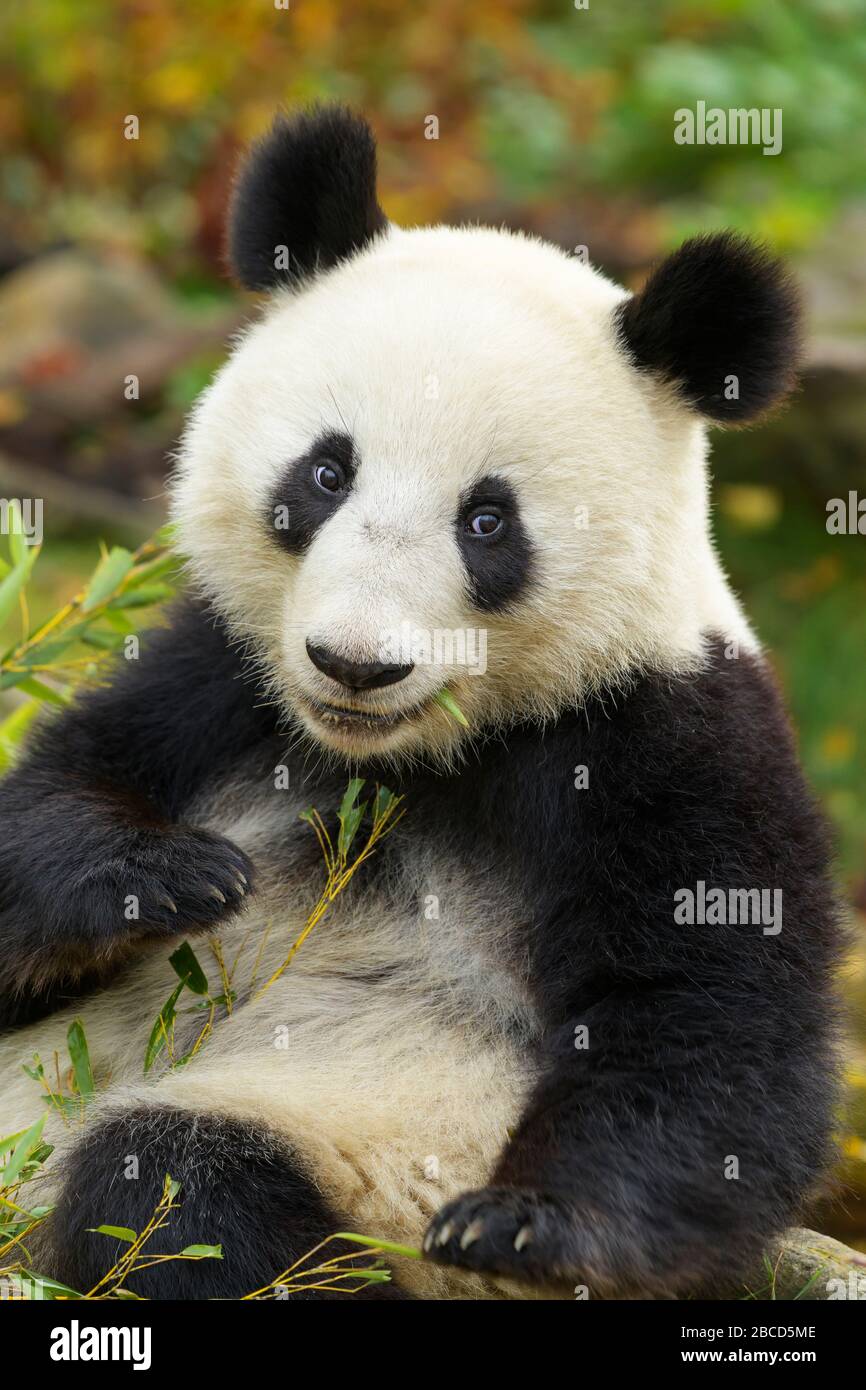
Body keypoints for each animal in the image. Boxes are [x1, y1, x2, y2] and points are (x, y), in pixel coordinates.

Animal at [0, 106, 842, 1301]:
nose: (354, 664)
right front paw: (160, 874)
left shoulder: (667, 741)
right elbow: (55, 805)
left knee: (174, 1184)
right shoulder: (218, 679)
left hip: (354, 1152)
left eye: (487, 521)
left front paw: (532, 1225)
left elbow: (713, 1030)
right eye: (325, 474)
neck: (396, 759)